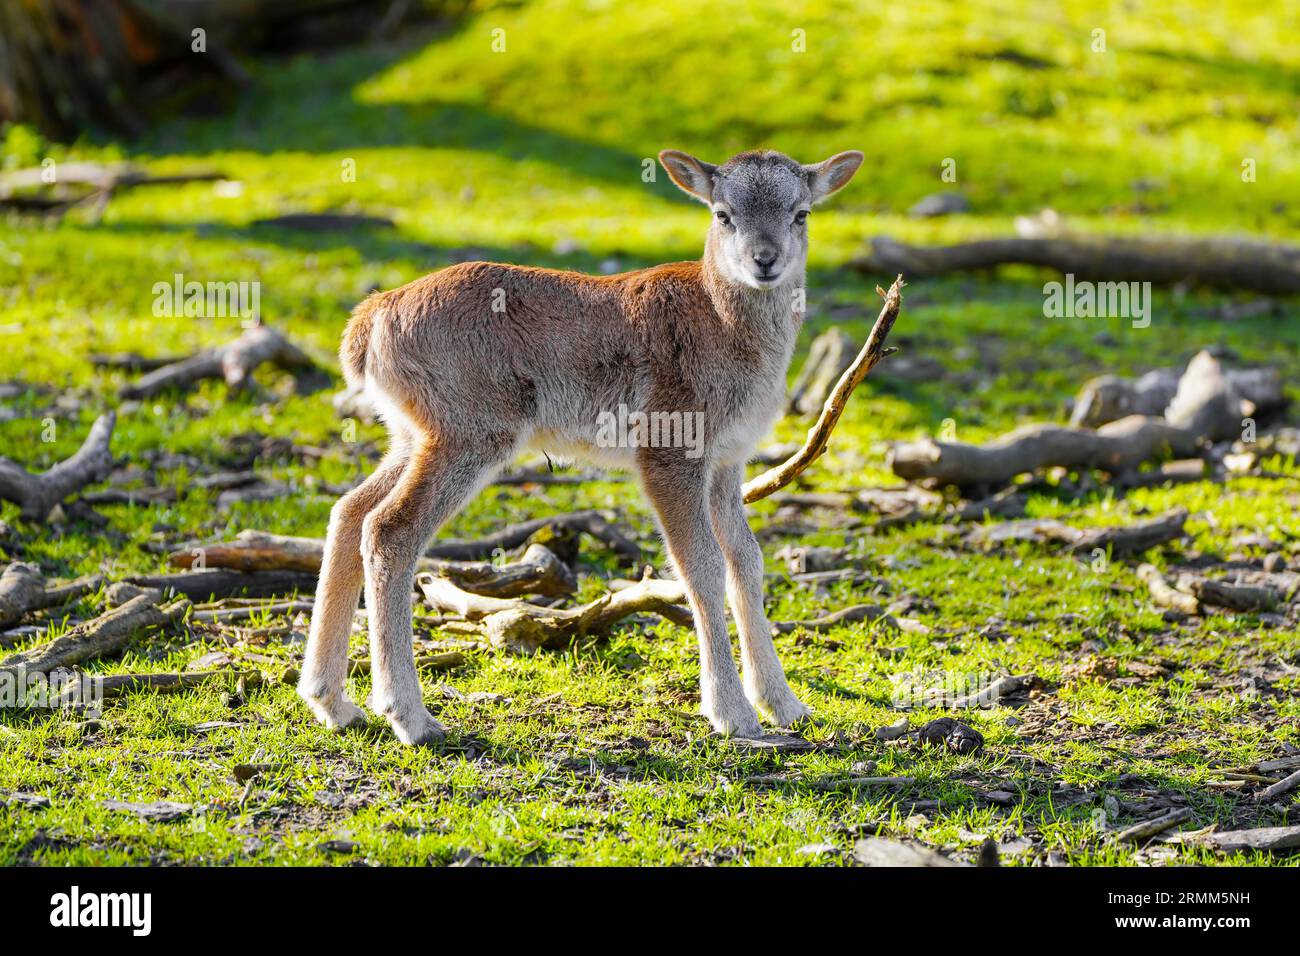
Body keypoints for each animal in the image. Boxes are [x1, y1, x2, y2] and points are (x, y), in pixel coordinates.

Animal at [298, 148, 864, 745]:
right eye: (722, 213)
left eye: (801, 213)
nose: (764, 261)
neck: (727, 330)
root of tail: (369, 322)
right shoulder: (668, 447)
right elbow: (700, 567)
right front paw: (732, 715)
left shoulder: (728, 460)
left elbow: (747, 563)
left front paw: (786, 706)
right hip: (470, 431)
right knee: (389, 529)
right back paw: (411, 717)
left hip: (412, 433)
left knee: (349, 510)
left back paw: (332, 702)